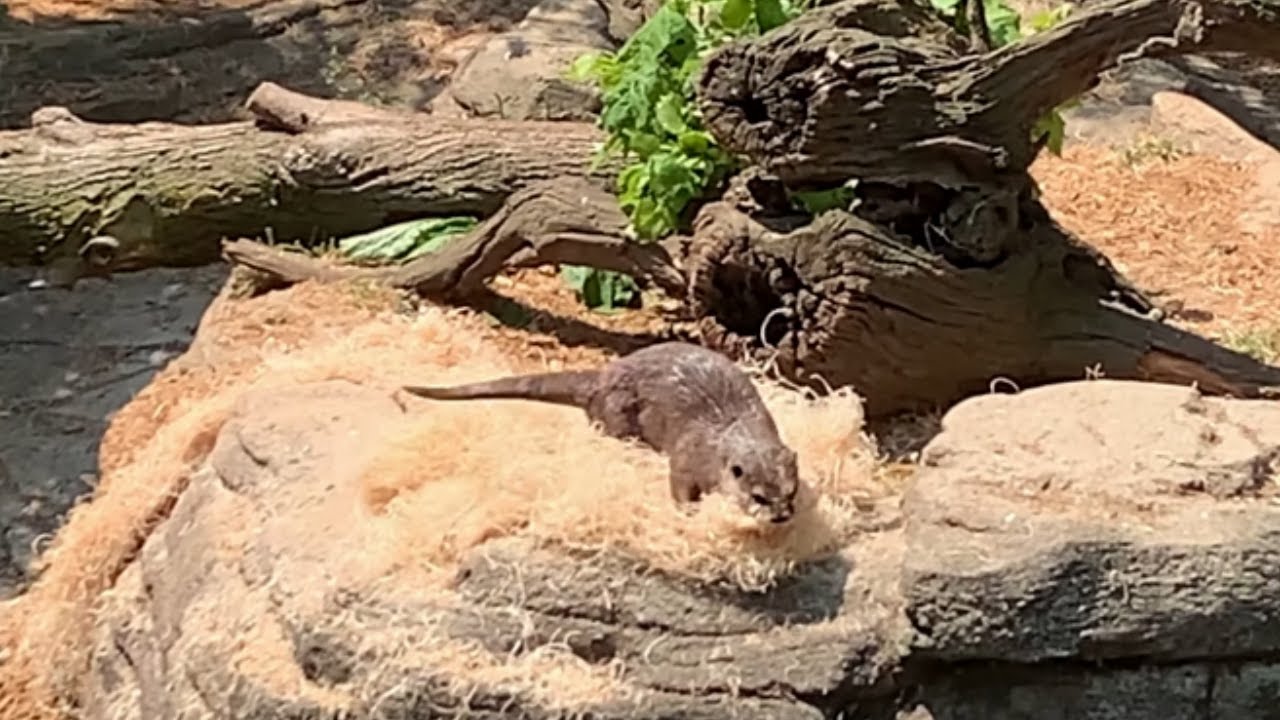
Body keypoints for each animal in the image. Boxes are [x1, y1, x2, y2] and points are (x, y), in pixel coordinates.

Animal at [401, 342, 799, 523]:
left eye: (790, 493)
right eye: (759, 497)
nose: (781, 516)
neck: (725, 437)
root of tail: (602, 379)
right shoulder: (690, 454)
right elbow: (679, 484)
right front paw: (689, 513)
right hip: (618, 412)